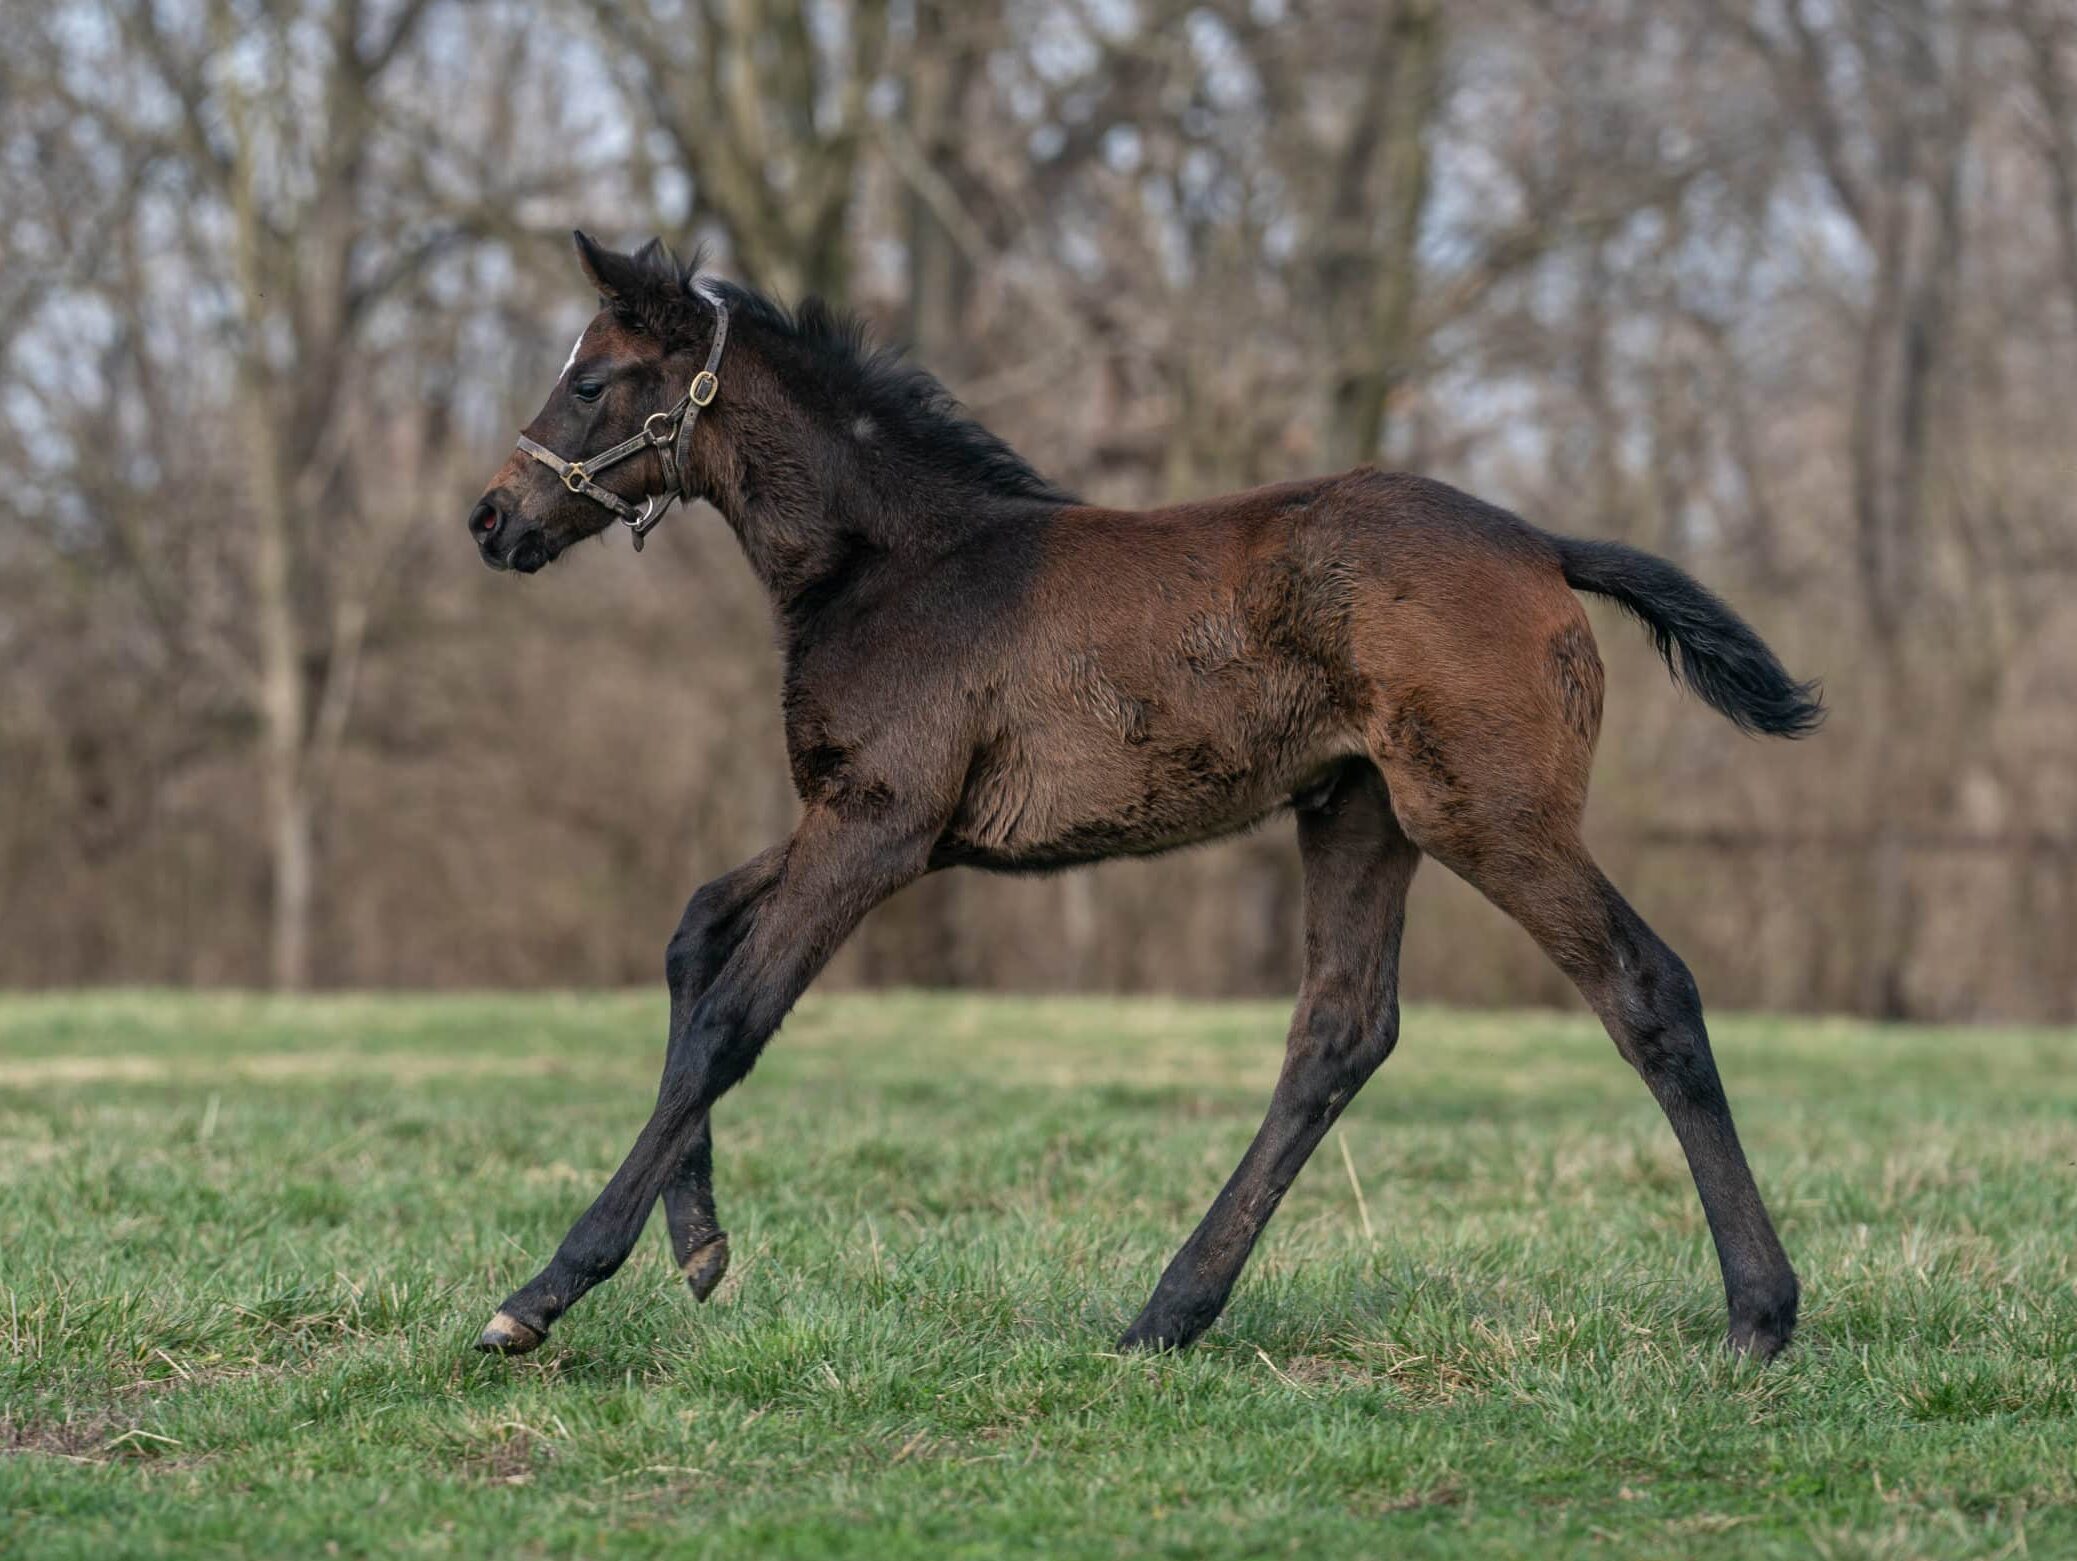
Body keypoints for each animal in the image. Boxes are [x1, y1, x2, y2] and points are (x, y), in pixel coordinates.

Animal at [463, 232, 1822, 1363]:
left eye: (591, 382)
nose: (489, 519)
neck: (894, 563)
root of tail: (1543, 545)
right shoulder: (881, 820)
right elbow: (695, 930)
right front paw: (699, 1249)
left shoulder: (881, 823)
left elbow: (731, 1022)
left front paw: (542, 1292)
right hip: (1356, 810)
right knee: (1339, 1031)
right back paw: (1167, 1313)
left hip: (1485, 813)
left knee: (1645, 986)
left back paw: (1758, 1315)